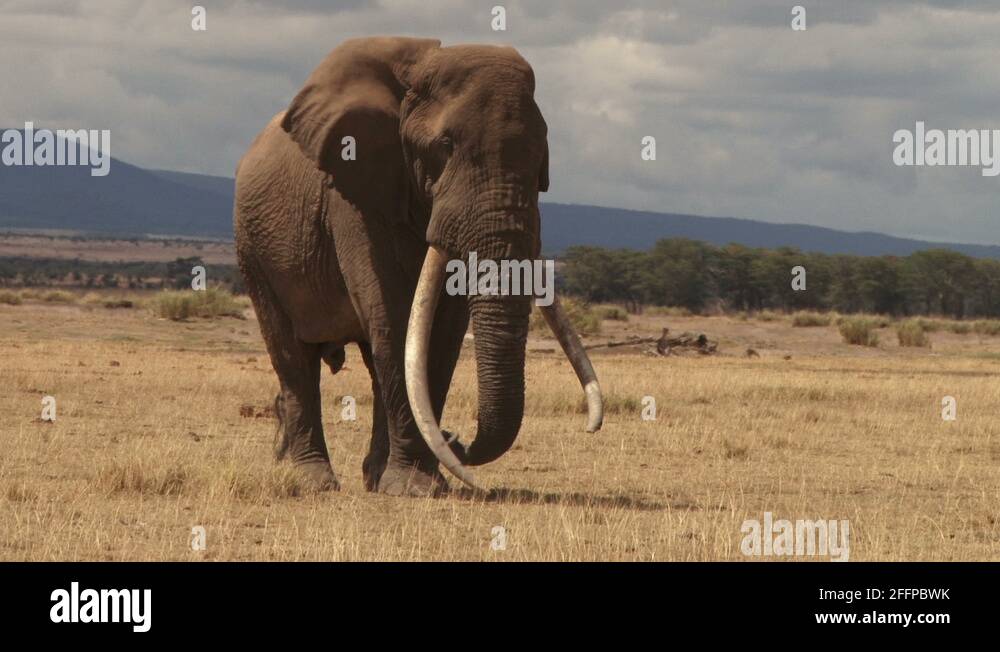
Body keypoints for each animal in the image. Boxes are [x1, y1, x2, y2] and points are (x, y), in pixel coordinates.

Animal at [233, 36, 603, 497]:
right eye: (444, 146)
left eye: (542, 159)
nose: (455, 437)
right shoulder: (352, 191)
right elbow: (392, 316)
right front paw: (413, 488)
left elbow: (441, 333)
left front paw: (420, 485)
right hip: (252, 248)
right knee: (293, 356)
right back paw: (313, 480)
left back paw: (366, 475)